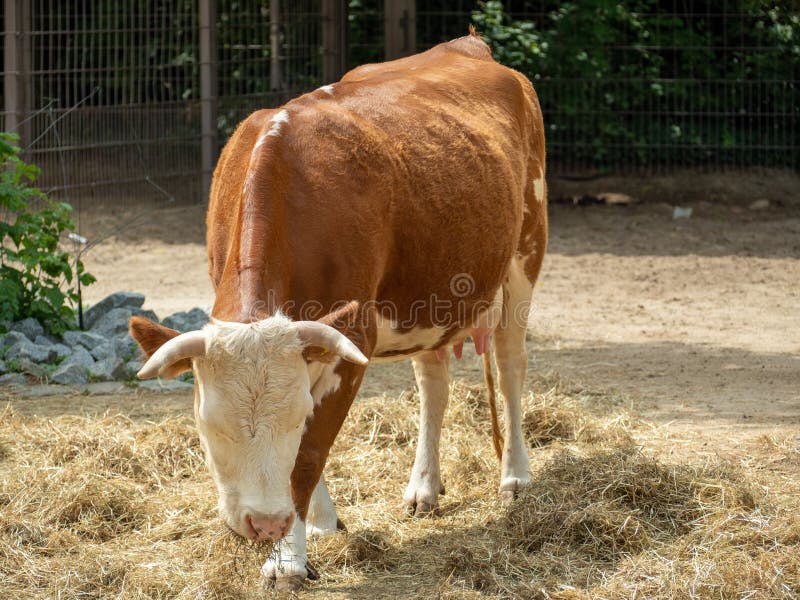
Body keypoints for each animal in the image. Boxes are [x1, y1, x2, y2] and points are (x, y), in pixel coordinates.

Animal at [129, 29, 547, 590]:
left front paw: (289, 557)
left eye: (294, 420)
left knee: (510, 366)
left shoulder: (355, 336)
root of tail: (469, 44)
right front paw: (321, 524)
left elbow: (309, 456)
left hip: (524, 255)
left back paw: (516, 477)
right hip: (429, 292)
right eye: (210, 424)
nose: (266, 523)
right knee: (433, 385)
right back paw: (424, 487)